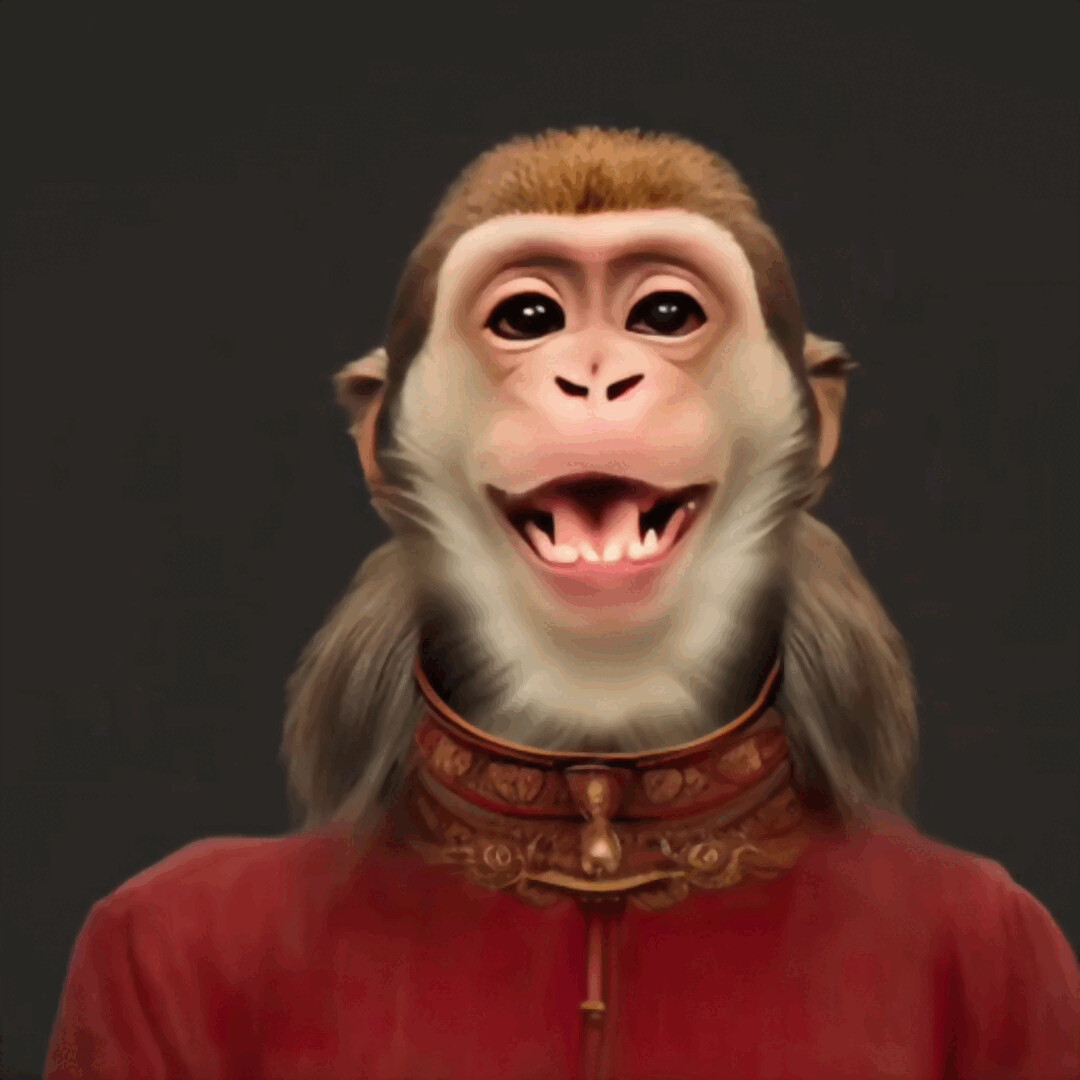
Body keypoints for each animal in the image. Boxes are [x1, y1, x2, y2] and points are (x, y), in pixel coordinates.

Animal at [46, 127, 1079, 1080]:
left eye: (664, 313)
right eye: (530, 316)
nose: (594, 377)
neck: (598, 837)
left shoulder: (1023, 950)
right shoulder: (125, 937)